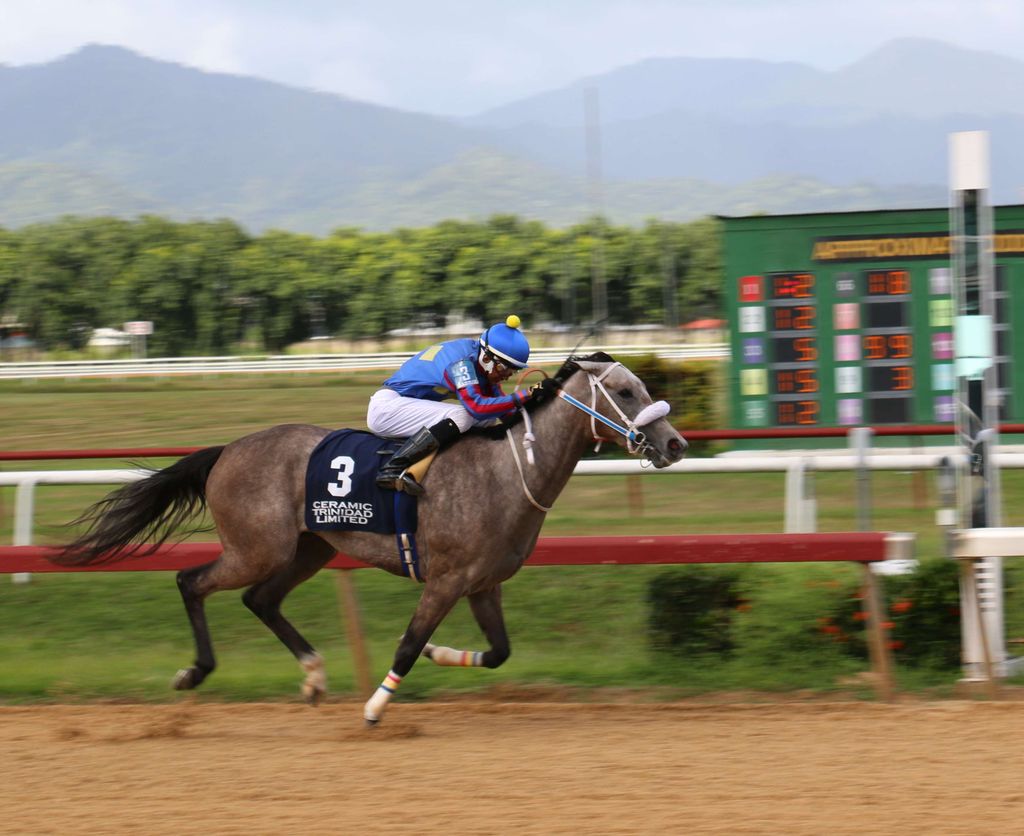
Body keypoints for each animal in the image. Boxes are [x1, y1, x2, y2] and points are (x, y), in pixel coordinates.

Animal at [55, 352, 688, 724]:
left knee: (260, 599)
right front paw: (376, 704)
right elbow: (406, 644)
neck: (510, 469)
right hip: (256, 548)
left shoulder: (484, 583)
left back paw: (313, 676)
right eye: (625, 391)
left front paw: (442, 653)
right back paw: (194, 672)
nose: (675, 443)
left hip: (308, 548)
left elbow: (499, 651)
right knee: (192, 581)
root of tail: (227, 450)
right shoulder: (446, 578)